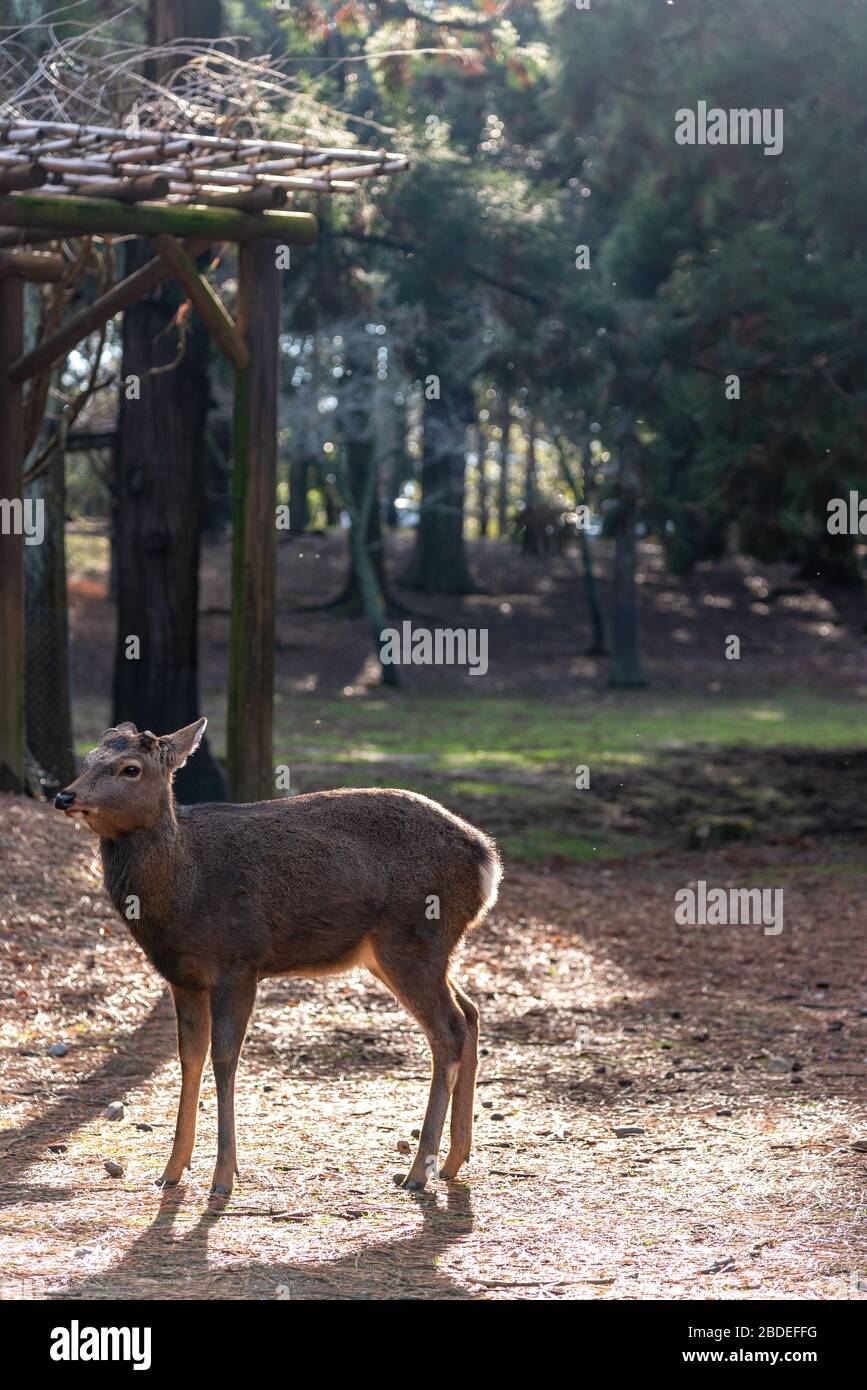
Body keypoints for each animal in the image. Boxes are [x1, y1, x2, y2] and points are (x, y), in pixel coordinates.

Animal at [54, 719, 502, 1199]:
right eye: (88, 760)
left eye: (131, 768)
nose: (65, 796)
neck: (184, 887)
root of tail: (487, 861)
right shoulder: (182, 976)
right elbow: (189, 1058)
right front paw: (171, 1170)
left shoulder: (238, 962)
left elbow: (224, 1058)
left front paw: (223, 1178)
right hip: (416, 951)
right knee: (470, 1012)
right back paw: (454, 1160)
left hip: (412, 940)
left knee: (449, 1030)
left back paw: (419, 1171)